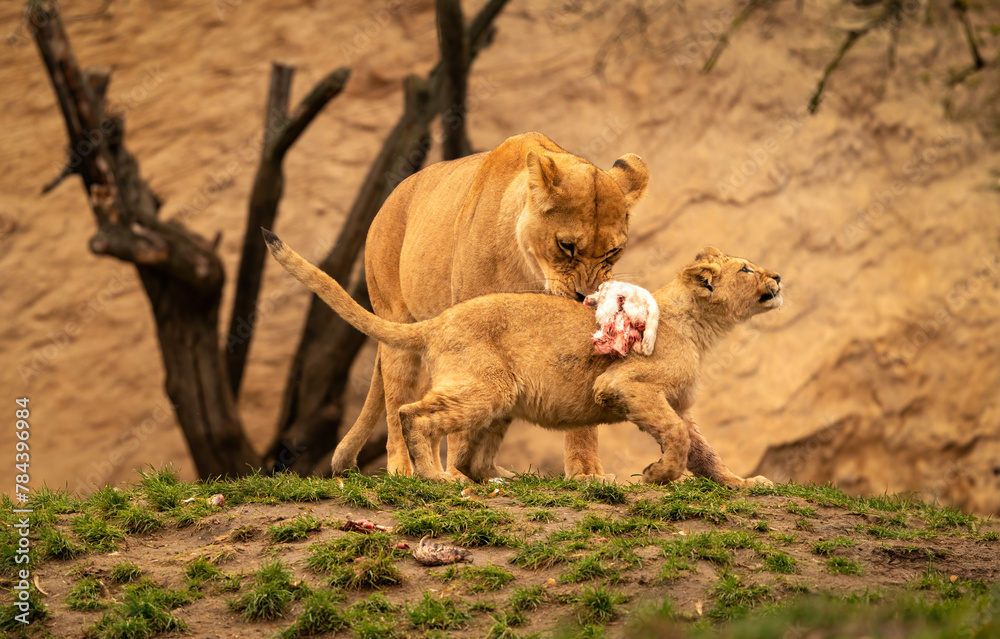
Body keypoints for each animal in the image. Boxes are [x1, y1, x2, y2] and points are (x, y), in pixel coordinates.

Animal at [265, 231, 780, 488]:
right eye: (746, 269)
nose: (777, 276)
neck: (704, 327)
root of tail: (440, 320)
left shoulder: (680, 405)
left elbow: (704, 451)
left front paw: (744, 484)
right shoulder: (622, 384)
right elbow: (674, 436)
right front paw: (657, 475)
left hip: (501, 402)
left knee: (472, 457)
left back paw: (504, 481)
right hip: (485, 387)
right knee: (415, 416)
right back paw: (434, 478)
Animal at [330, 132, 649, 481]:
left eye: (613, 251)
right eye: (566, 246)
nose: (588, 296)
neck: (530, 269)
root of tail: (390, 198)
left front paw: (586, 472)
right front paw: (459, 473)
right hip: (401, 325)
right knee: (398, 404)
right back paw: (407, 471)